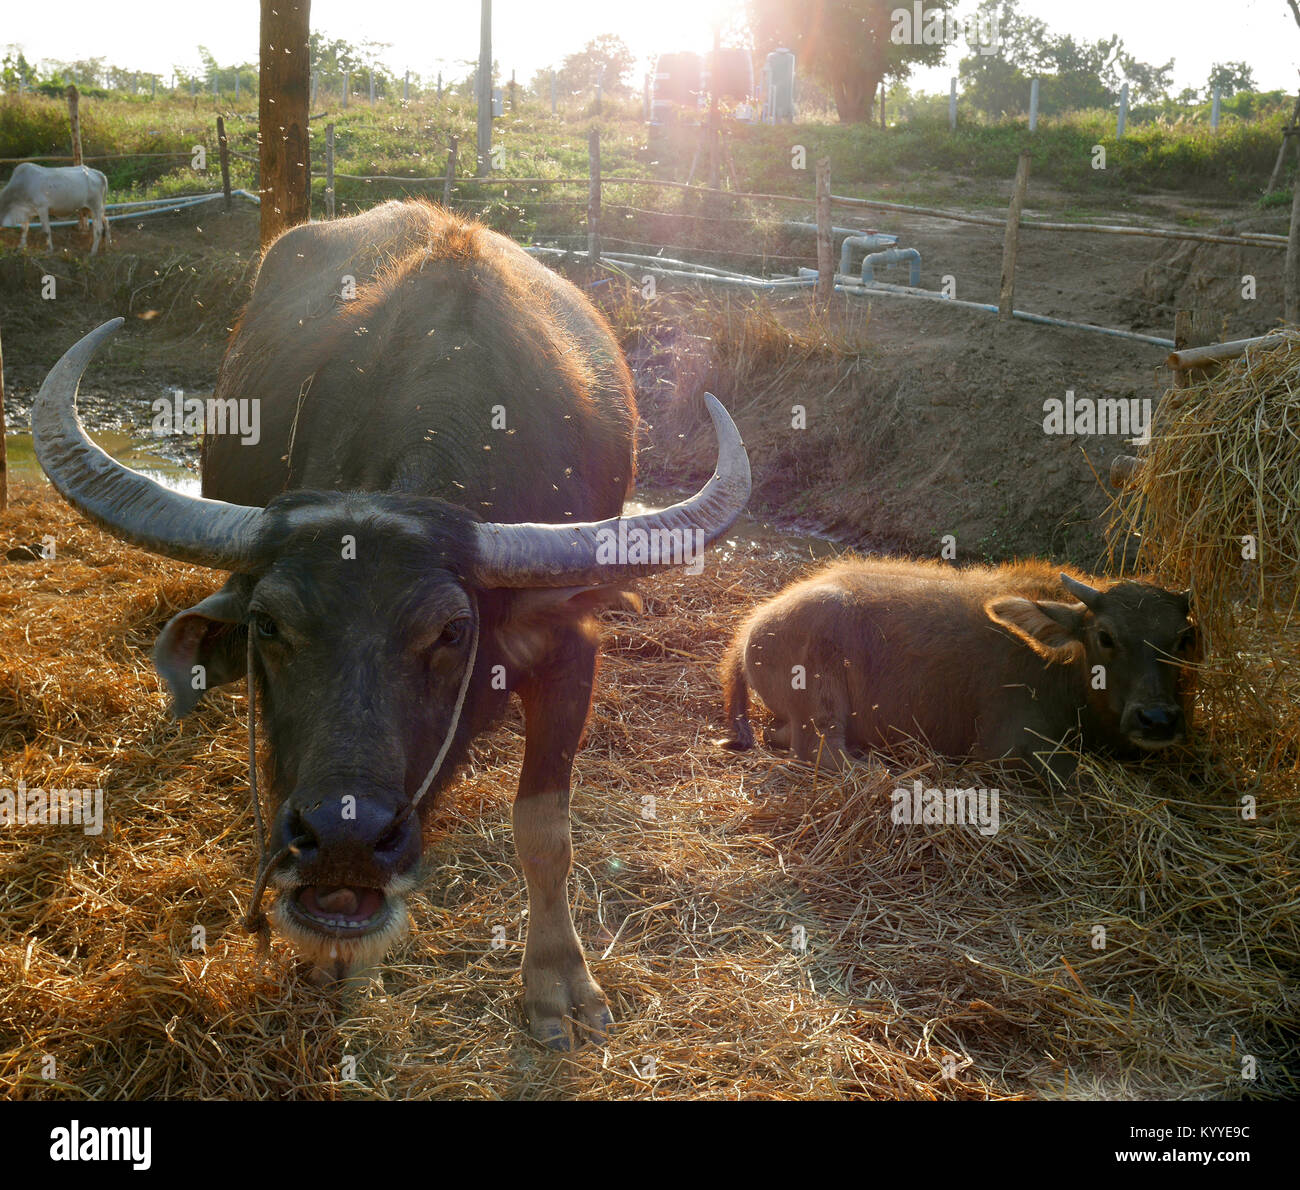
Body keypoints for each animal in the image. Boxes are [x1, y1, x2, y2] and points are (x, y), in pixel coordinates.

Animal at [33, 200, 750, 1049]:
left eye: (452, 632)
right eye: (268, 624)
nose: (345, 837)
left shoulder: (571, 653)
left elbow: (545, 831)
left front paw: (556, 987)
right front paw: (338, 968)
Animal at [720, 558, 1196, 777]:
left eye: (1183, 639)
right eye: (1106, 636)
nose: (1157, 719)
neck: (1065, 670)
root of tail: (751, 630)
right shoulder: (1007, 749)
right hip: (821, 704)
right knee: (825, 754)